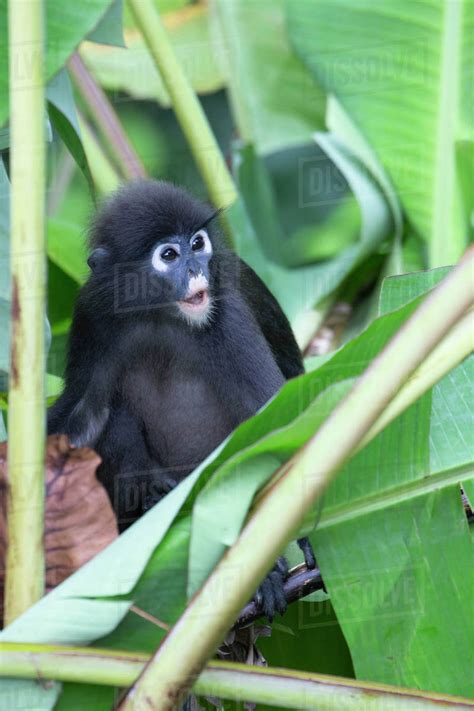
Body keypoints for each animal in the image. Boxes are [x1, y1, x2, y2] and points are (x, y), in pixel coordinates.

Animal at [48, 180, 315, 620]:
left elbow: (275, 421)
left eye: (197, 243)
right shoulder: (92, 313)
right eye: (169, 255)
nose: (196, 270)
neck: (160, 314)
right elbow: (81, 418)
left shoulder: (227, 313)